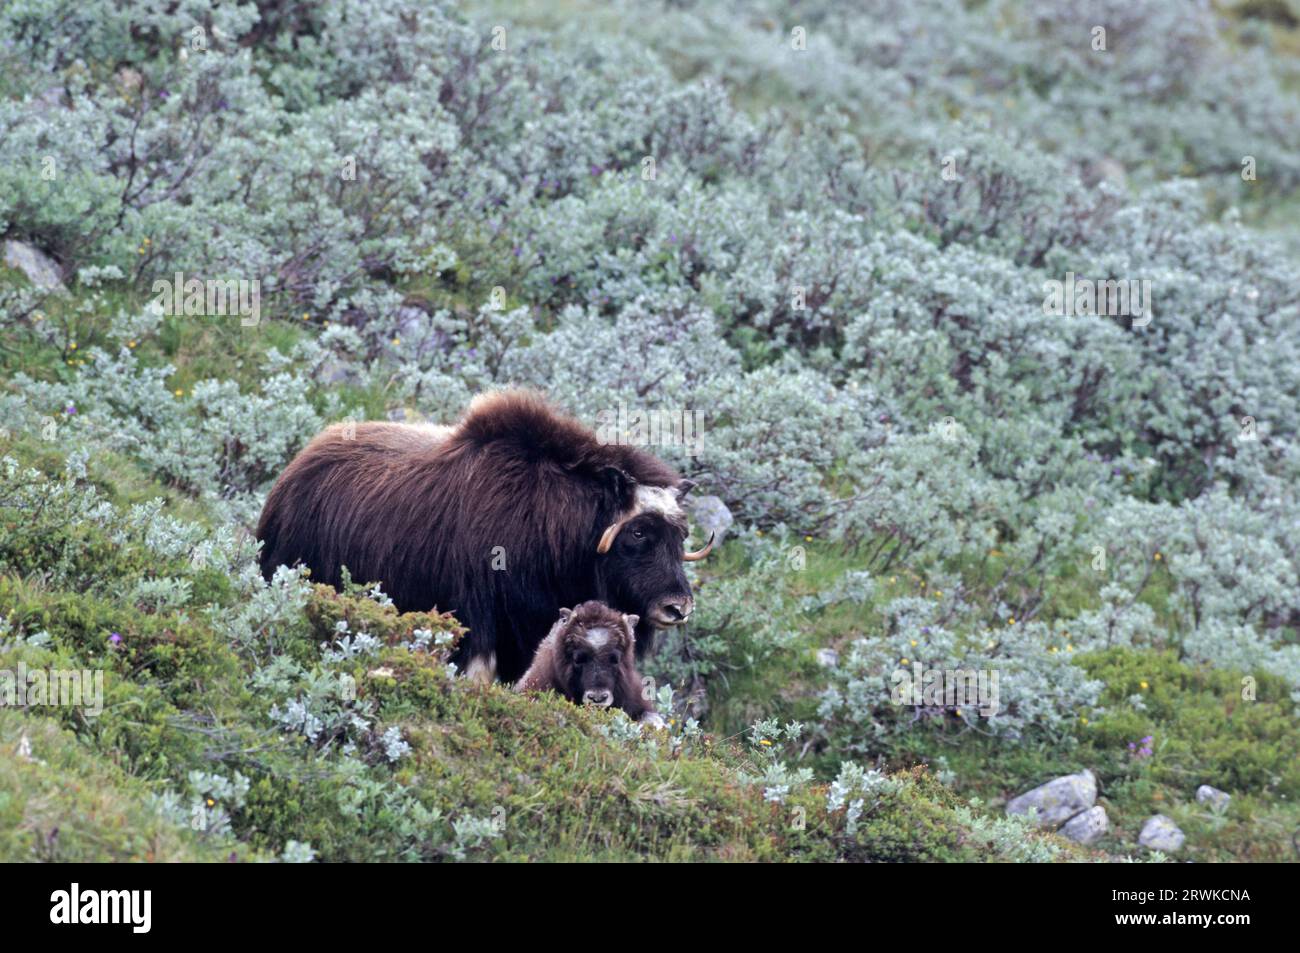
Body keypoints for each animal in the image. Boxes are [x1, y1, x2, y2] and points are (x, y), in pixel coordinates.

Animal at [255, 389, 713, 684]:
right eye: (637, 532)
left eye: (681, 535)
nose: (678, 608)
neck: (556, 525)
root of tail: (296, 465)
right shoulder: (475, 619)